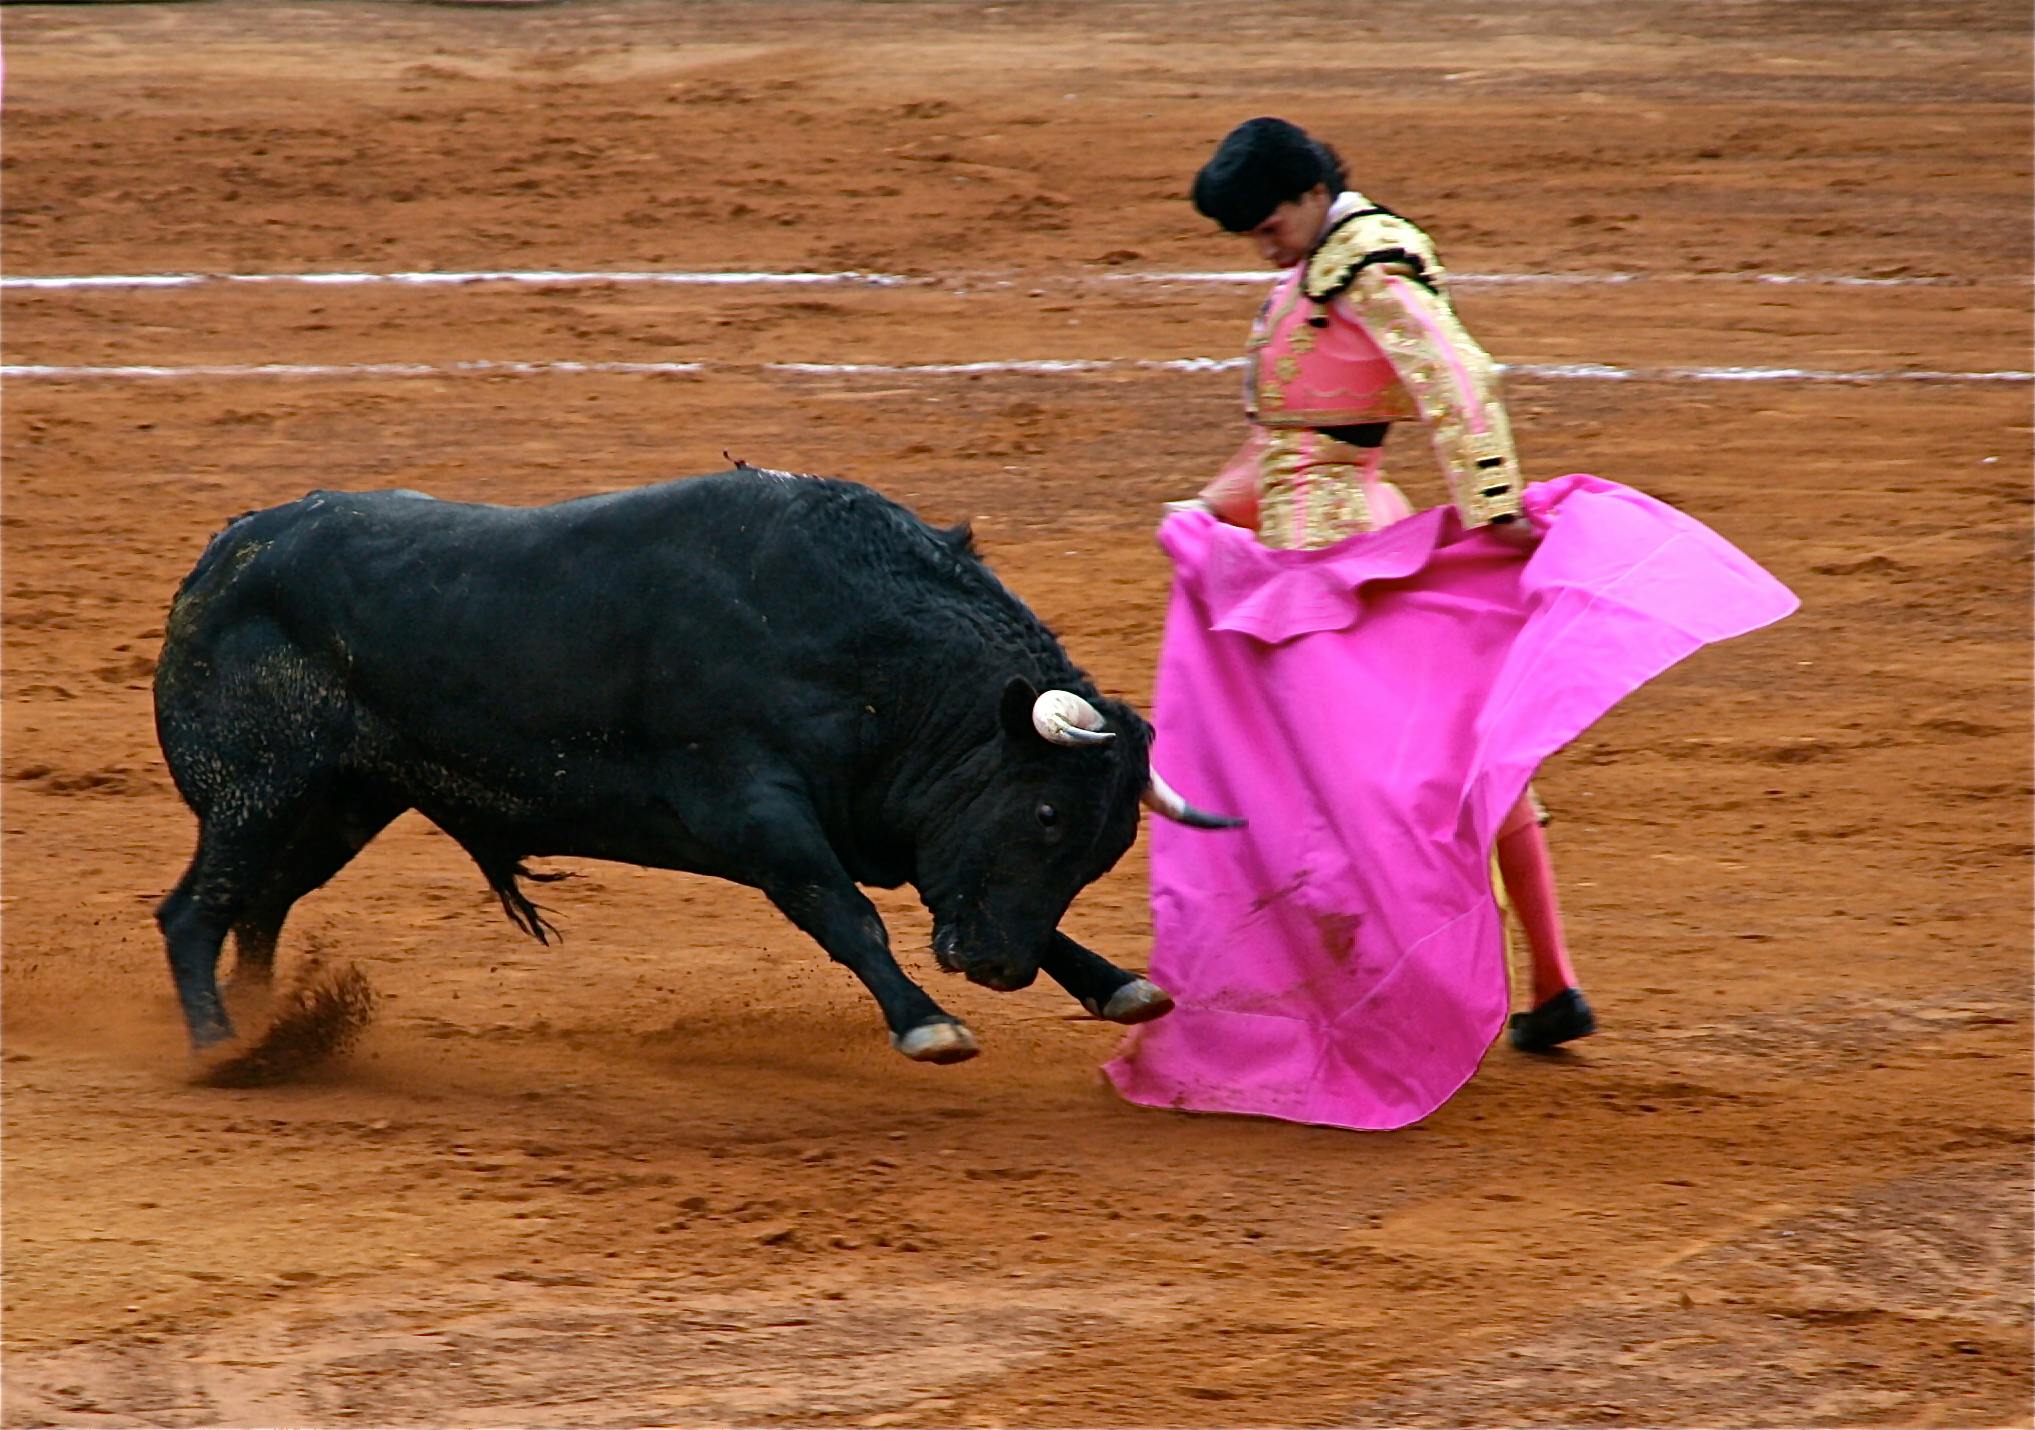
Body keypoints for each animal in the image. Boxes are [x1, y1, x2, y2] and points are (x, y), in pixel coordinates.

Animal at [152, 467, 1239, 1066]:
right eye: (1047, 815)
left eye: (1105, 847)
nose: (997, 970)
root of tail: (220, 556)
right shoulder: (752, 810)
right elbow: (846, 912)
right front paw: (930, 1024)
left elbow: (988, 906)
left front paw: (1118, 985)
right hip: (259, 791)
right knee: (195, 911)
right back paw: (220, 1051)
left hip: (340, 802)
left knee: (260, 906)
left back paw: (266, 1028)